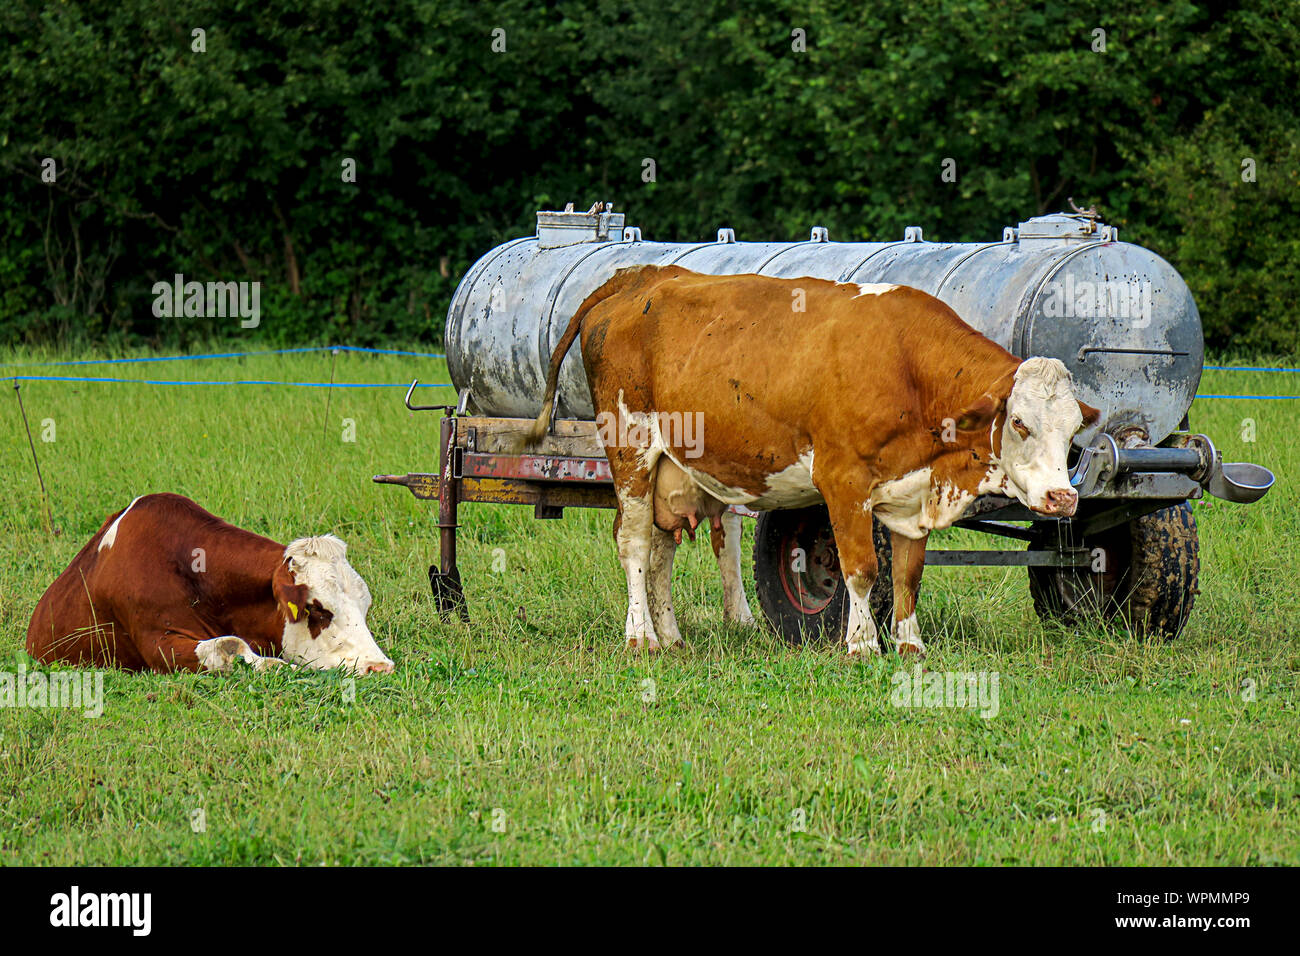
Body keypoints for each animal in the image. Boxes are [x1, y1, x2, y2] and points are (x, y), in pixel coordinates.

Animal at [526, 265, 1100, 657]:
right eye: (1020, 422)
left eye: (1074, 430)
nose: (1063, 497)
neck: (908, 368)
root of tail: (644, 275)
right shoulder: (843, 481)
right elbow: (862, 569)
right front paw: (862, 645)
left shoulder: (913, 493)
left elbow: (910, 574)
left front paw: (911, 647)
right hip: (630, 450)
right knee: (636, 542)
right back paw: (641, 635)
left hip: (676, 469)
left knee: (663, 548)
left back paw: (670, 636)